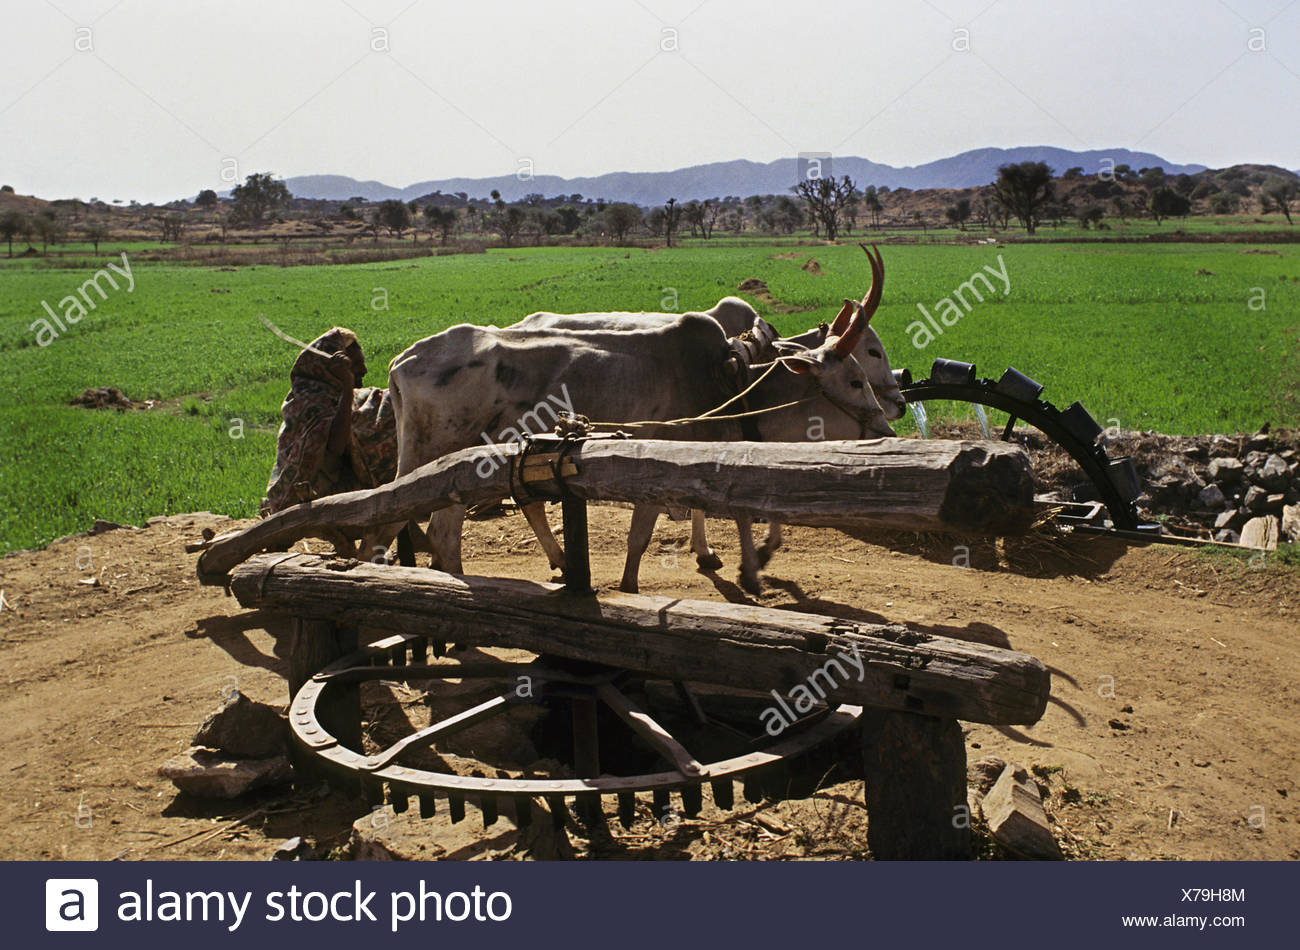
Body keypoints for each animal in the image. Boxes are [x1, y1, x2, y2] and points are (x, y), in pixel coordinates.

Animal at [387, 294, 893, 594]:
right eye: (857, 375)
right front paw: (635, 587)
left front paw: (743, 564)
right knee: (442, 536)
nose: (890, 422)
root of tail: (402, 359)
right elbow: (642, 536)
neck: (729, 377)